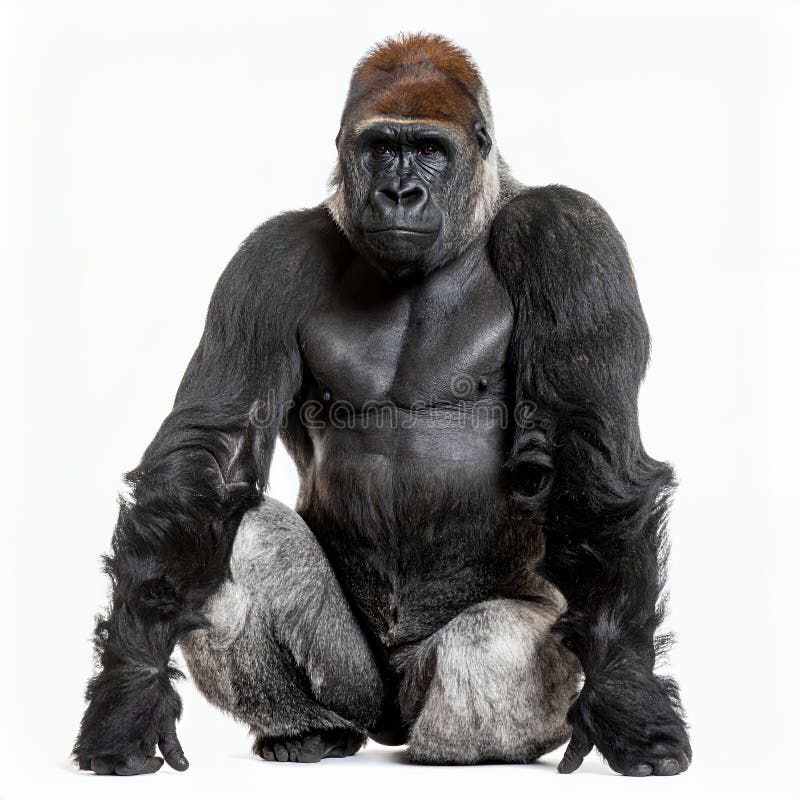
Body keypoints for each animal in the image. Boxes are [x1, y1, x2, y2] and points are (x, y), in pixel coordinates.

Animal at [73, 33, 690, 777]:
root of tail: (391, 724)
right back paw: (308, 732)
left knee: (487, 647)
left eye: (429, 149)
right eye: (380, 148)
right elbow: (209, 462)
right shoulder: (268, 260)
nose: (401, 192)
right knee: (244, 546)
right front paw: (128, 696)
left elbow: (593, 461)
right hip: (359, 689)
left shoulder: (571, 234)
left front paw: (627, 700)